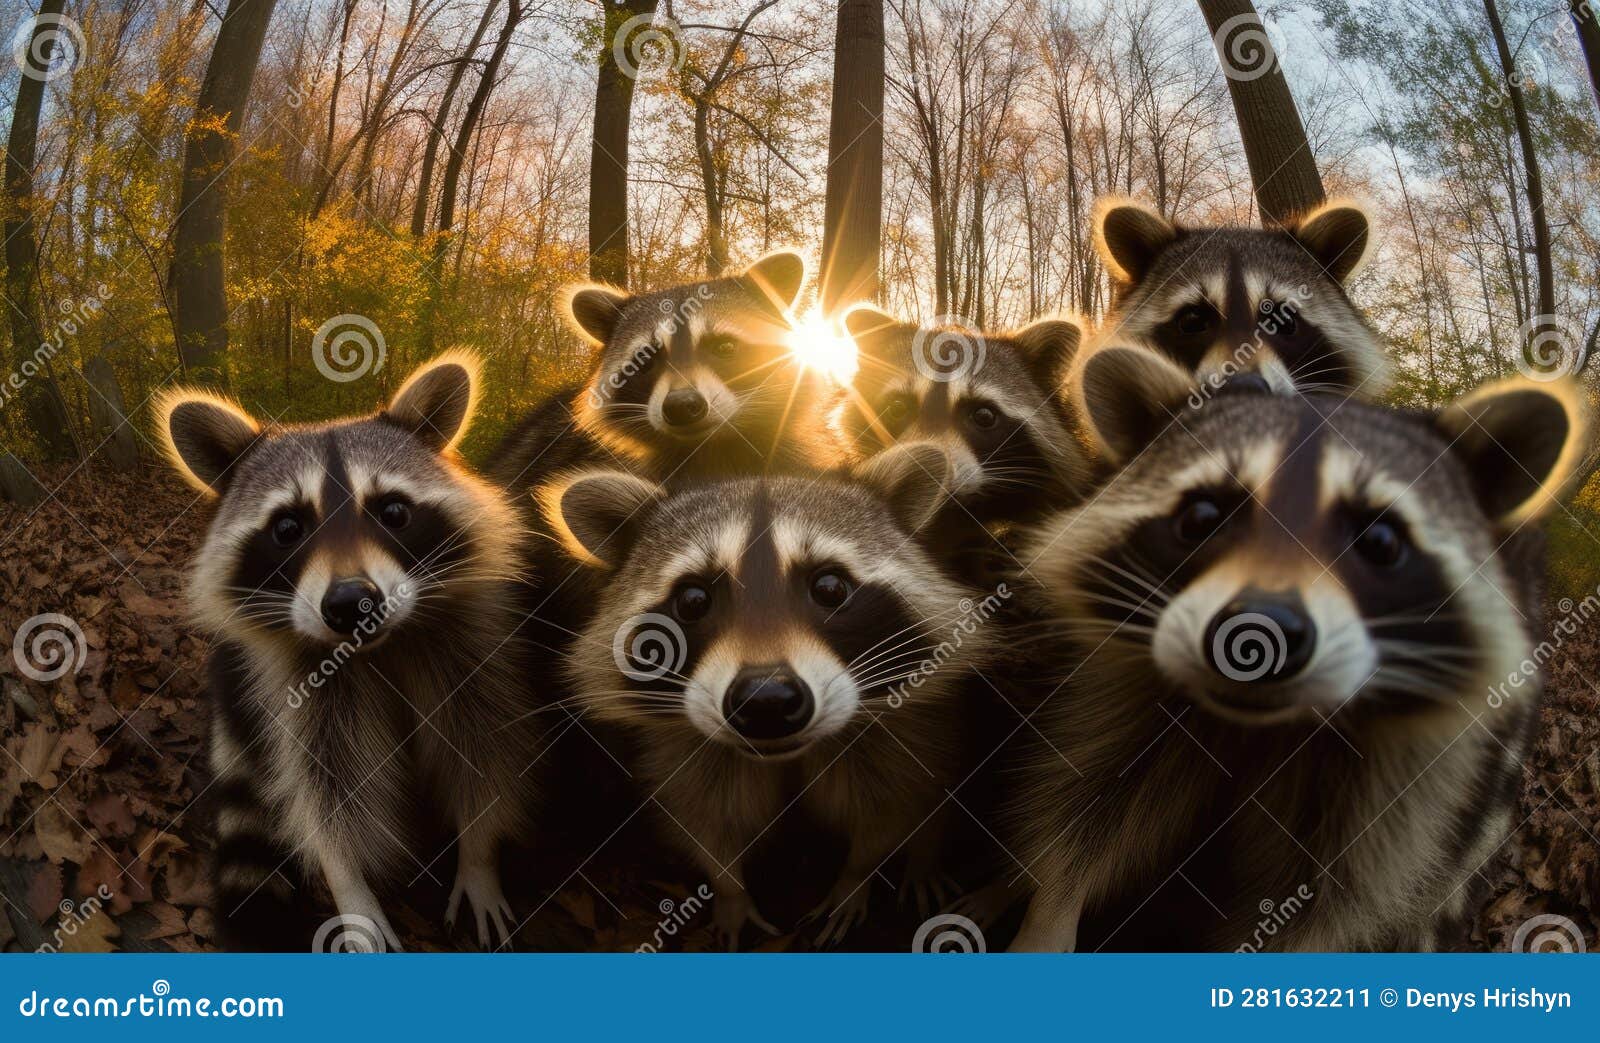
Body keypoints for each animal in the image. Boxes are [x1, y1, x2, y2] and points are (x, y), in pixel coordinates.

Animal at [156, 353, 539, 951]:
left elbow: (481, 756)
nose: (351, 603)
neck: (374, 649)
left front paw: (479, 858)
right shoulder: (296, 690)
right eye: (288, 527)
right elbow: (325, 797)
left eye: (393, 512)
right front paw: (351, 888)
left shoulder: (471, 656)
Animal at [540, 444, 990, 948]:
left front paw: (855, 877)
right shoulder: (688, 753)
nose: (766, 700)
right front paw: (730, 892)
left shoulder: (902, 736)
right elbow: (703, 820)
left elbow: (890, 808)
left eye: (829, 588)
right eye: (693, 599)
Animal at [1006, 346, 1587, 952]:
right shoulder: (1135, 696)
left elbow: (1314, 908)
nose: (1260, 631)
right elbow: (1090, 808)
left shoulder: (1396, 783)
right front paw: (1050, 913)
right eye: (1203, 516)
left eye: (1379, 541)